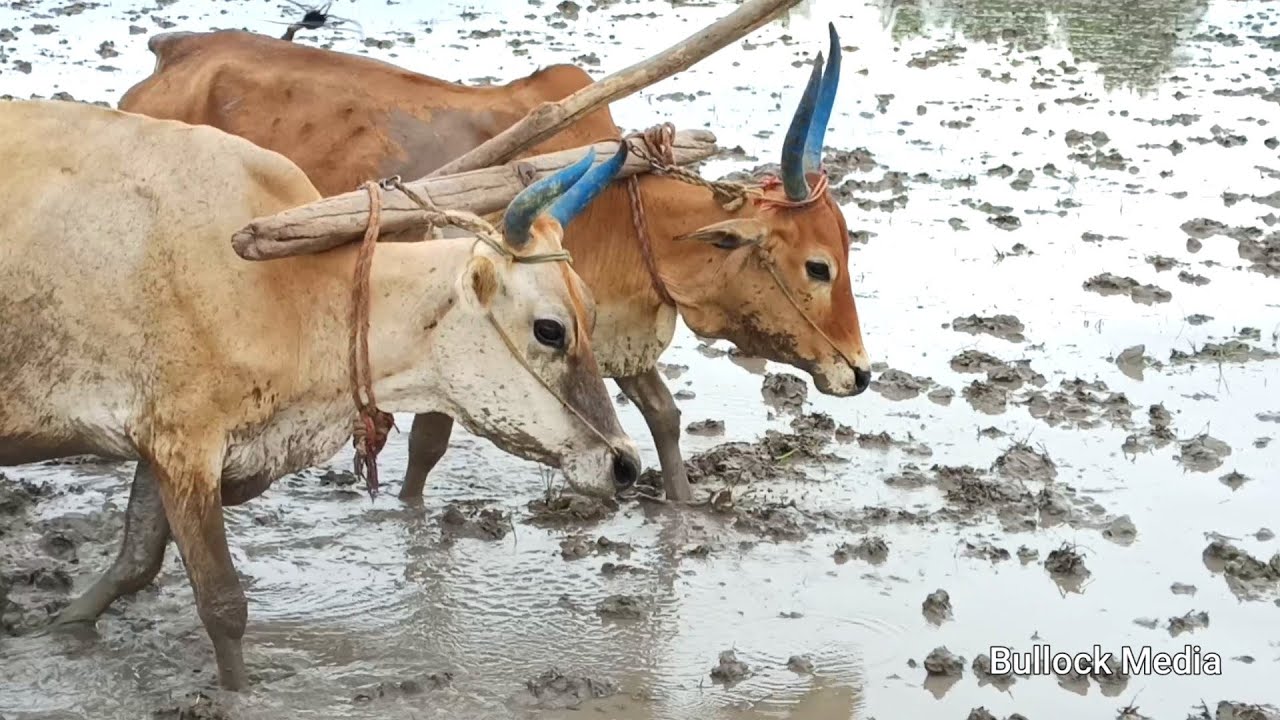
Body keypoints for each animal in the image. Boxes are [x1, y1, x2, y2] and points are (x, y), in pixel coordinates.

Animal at [0, 98, 640, 690]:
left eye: (590, 309)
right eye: (549, 329)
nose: (625, 465)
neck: (287, 290)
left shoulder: (167, 448)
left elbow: (134, 561)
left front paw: (63, 628)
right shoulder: (185, 446)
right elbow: (222, 604)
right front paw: (237, 692)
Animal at [118, 23, 873, 503]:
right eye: (817, 267)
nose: (862, 373)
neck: (616, 208)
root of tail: (174, 50)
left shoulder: (600, 336)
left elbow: (663, 417)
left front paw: (685, 511)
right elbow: (425, 450)